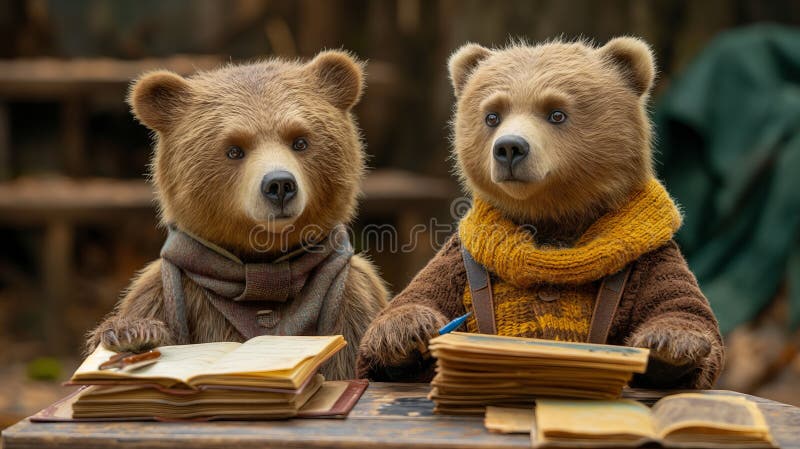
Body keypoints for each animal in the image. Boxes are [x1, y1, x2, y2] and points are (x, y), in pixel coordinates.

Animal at [86, 50, 389, 380]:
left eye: (300, 141)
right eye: (234, 149)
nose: (279, 185)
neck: (262, 262)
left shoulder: (351, 294)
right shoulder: (167, 292)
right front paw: (131, 333)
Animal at [357, 37, 724, 389]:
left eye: (556, 113)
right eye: (492, 115)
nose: (509, 148)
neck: (552, 219)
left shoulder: (651, 257)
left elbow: (679, 303)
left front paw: (670, 342)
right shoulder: (459, 259)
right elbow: (417, 296)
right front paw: (404, 330)